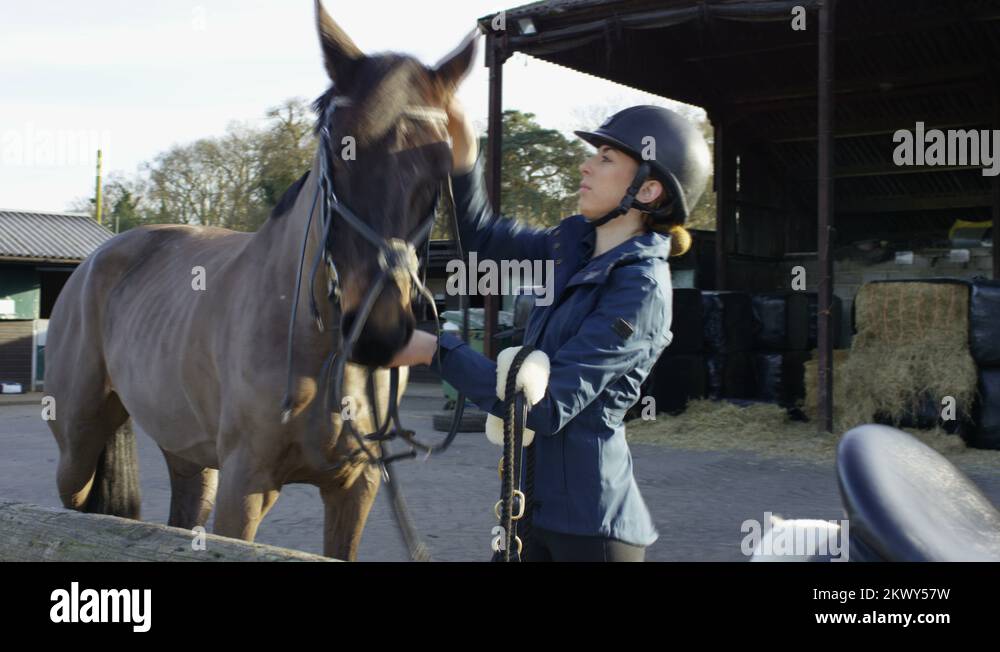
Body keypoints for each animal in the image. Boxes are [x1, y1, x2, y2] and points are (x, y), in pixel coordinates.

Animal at [44, 1, 477, 561]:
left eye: (439, 163)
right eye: (336, 150)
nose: (378, 330)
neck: (319, 350)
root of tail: (95, 260)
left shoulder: (357, 485)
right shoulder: (245, 486)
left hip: (187, 453)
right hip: (77, 452)